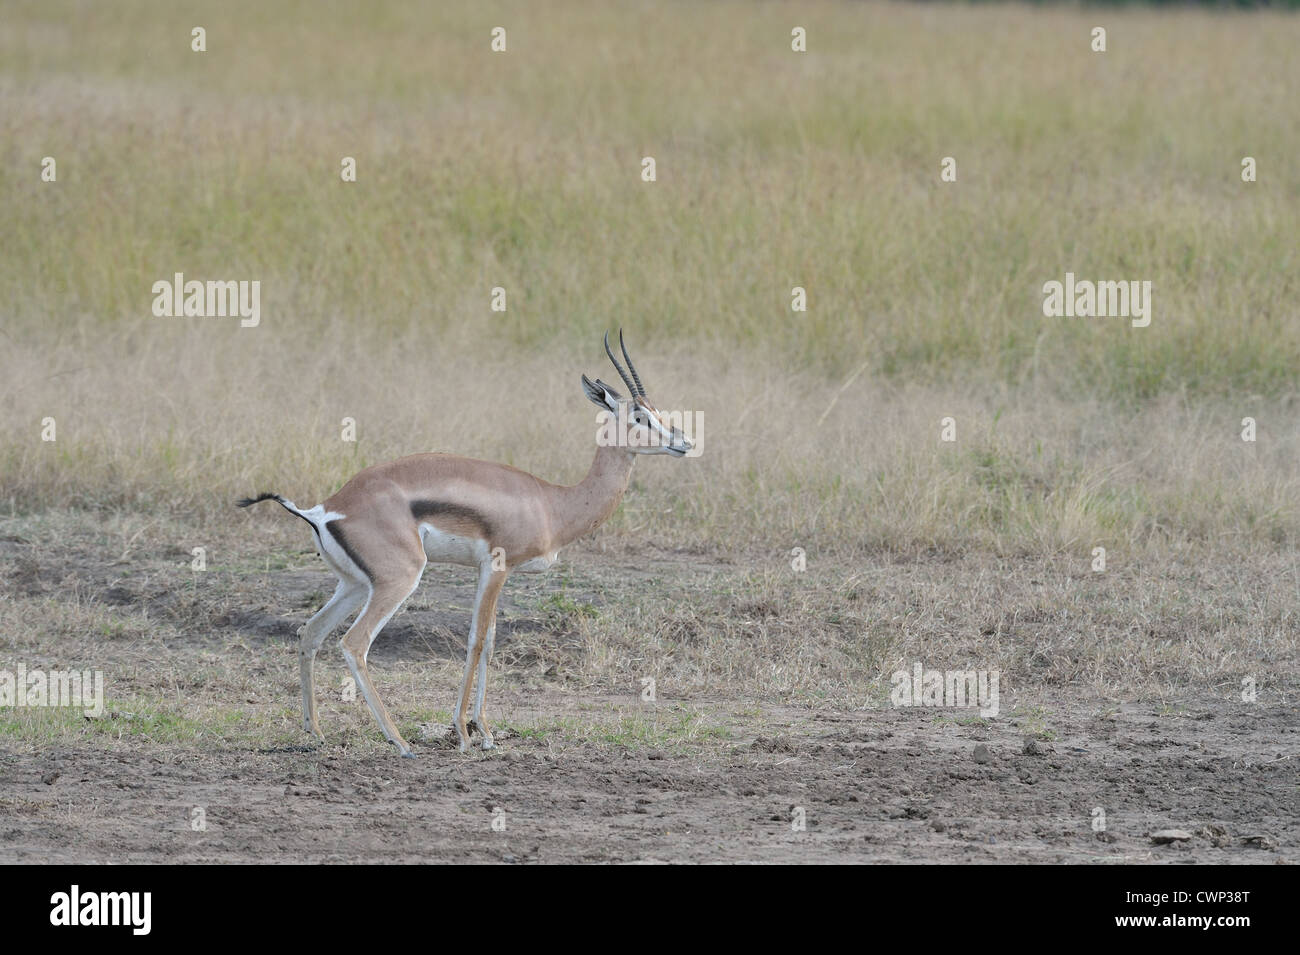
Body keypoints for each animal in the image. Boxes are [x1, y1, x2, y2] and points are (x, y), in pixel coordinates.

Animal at [238, 332, 692, 757]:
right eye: (640, 415)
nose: (683, 441)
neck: (553, 503)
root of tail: (326, 509)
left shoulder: (487, 572)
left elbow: (489, 643)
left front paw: (485, 732)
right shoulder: (496, 567)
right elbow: (475, 642)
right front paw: (463, 733)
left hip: (353, 585)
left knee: (310, 633)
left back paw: (314, 732)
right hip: (398, 581)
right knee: (354, 643)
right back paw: (399, 742)